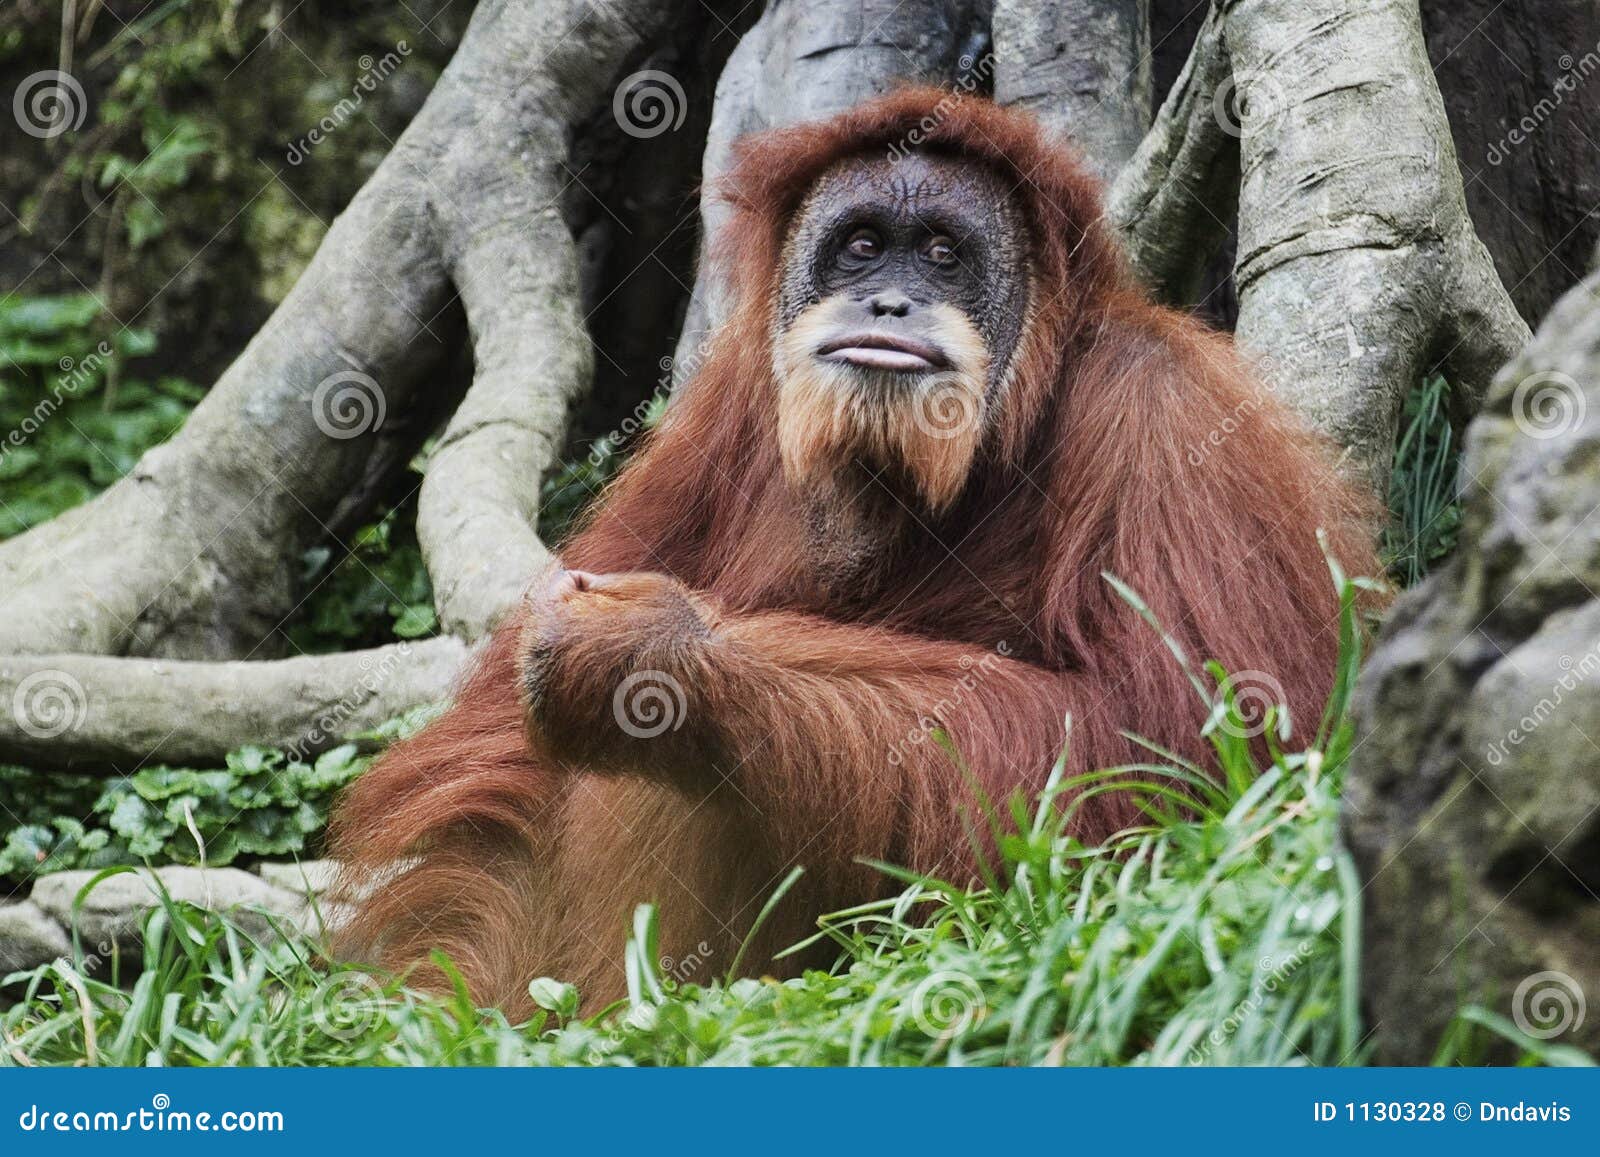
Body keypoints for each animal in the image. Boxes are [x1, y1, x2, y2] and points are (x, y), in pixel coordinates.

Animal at [329, 88, 1379, 1015]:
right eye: (864, 244)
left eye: (946, 254)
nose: (890, 300)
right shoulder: (720, 413)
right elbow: (512, 774)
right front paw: (452, 1014)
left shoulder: (1173, 422)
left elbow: (1177, 745)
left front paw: (650, 642)